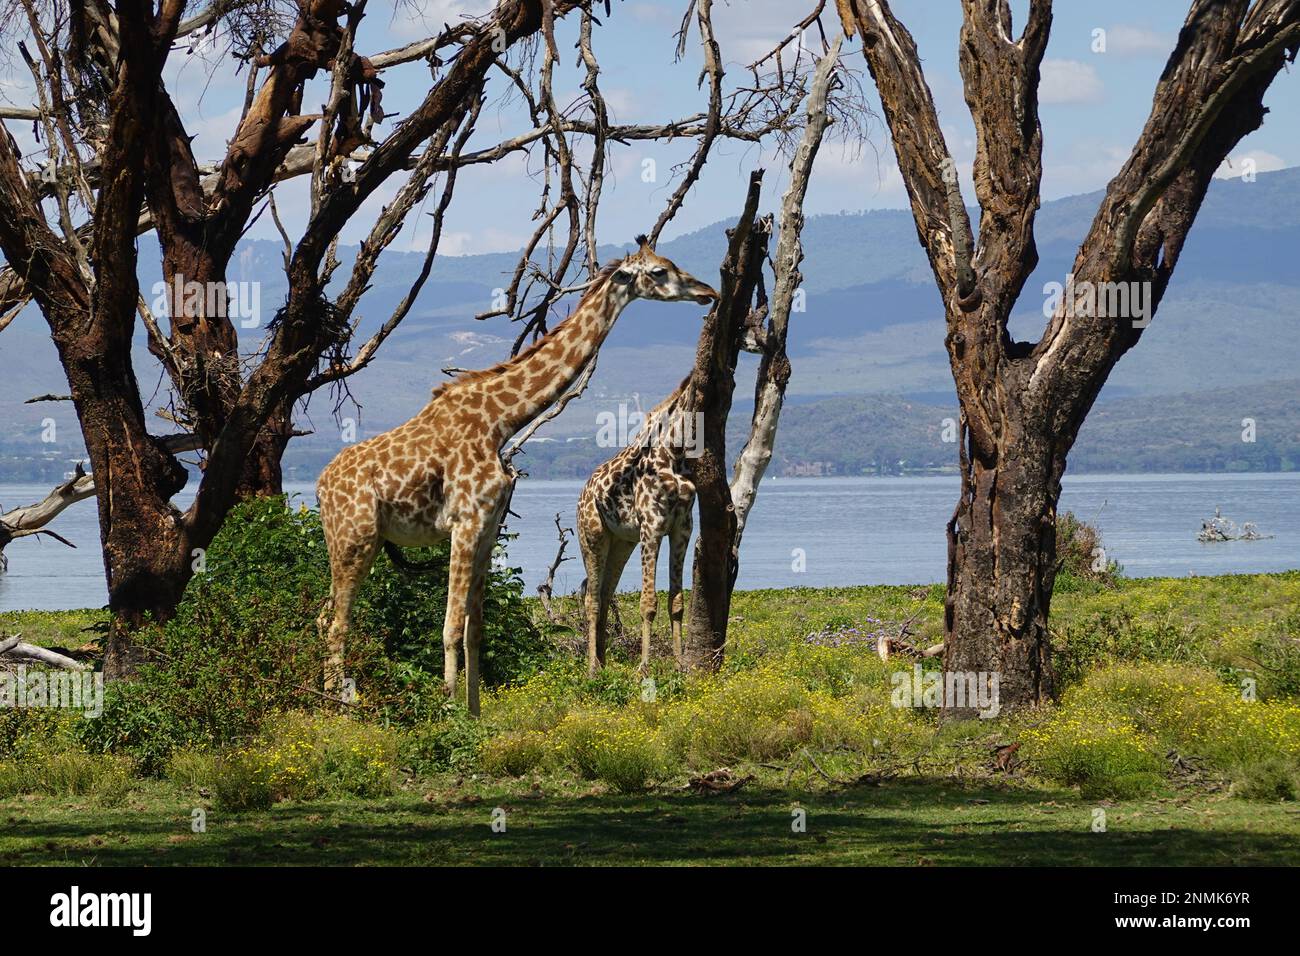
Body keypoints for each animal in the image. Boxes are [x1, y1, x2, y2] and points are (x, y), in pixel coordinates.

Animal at [578, 375, 700, 676]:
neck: (674, 453)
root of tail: (582, 494)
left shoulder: (682, 529)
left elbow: (676, 601)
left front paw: (679, 665)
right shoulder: (651, 528)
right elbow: (648, 603)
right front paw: (644, 668)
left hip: (622, 543)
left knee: (606, 594)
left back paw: (603, 663)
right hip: (592, 537)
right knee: (591, 598)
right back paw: (592, 669)